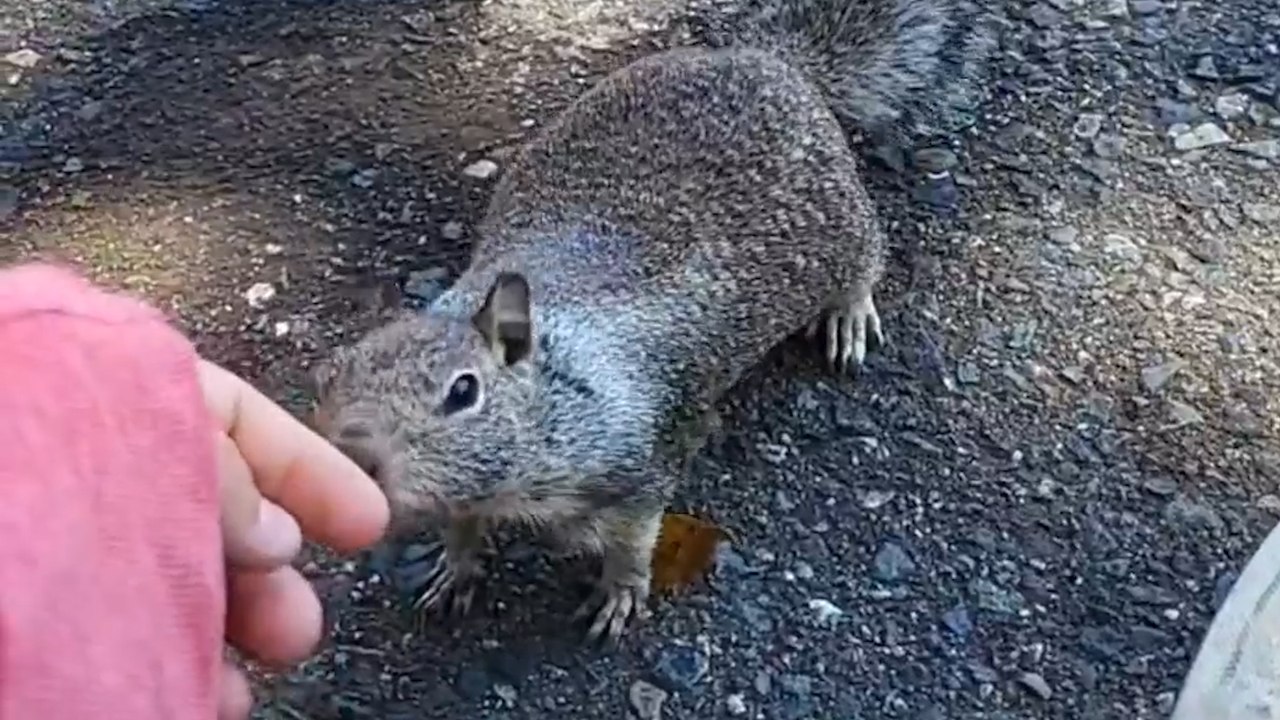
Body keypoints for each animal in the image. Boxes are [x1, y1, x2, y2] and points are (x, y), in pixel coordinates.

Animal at [312, 0, 997, 643]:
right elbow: (461, 526)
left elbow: (634, 535)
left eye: (463, 392)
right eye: (328, 377)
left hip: (842, 224)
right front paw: (455, 568)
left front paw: (621, 591)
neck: (556, 387)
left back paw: (848, 316)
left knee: (866, 260)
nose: (356, 457)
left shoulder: (645, 454)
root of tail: (776, 62)